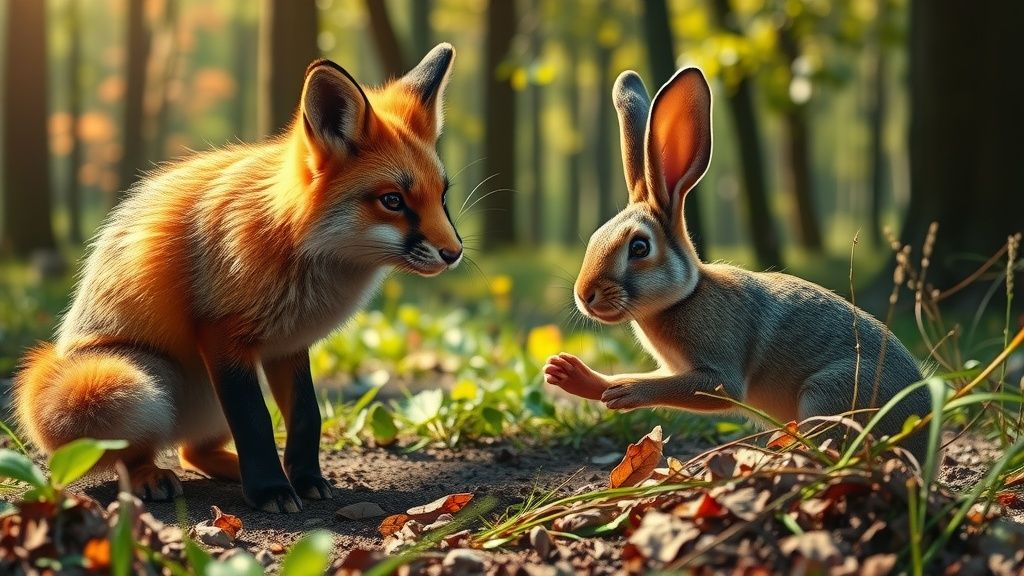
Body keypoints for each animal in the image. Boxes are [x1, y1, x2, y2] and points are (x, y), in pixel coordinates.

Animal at [13, 44, 463, 513]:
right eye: (392, 200)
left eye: (441, 196)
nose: (454, 254)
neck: (294, 245)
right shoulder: (222, 336)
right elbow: (256, 421)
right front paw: (270, 490)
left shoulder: (288, 343)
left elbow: (307, 417)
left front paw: (304, 480)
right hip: (132, 386)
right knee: (130, 455)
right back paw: (150, 475)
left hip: (202, 402)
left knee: (192, 452)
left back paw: (228, 468)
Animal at [543, 68, 931, 461]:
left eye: (639, 247)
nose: (585, 294)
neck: (685, 296)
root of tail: (921, 435)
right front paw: (568, 374)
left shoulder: (718, 369)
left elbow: (710, 388)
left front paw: (624, 391)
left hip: (827, 393)